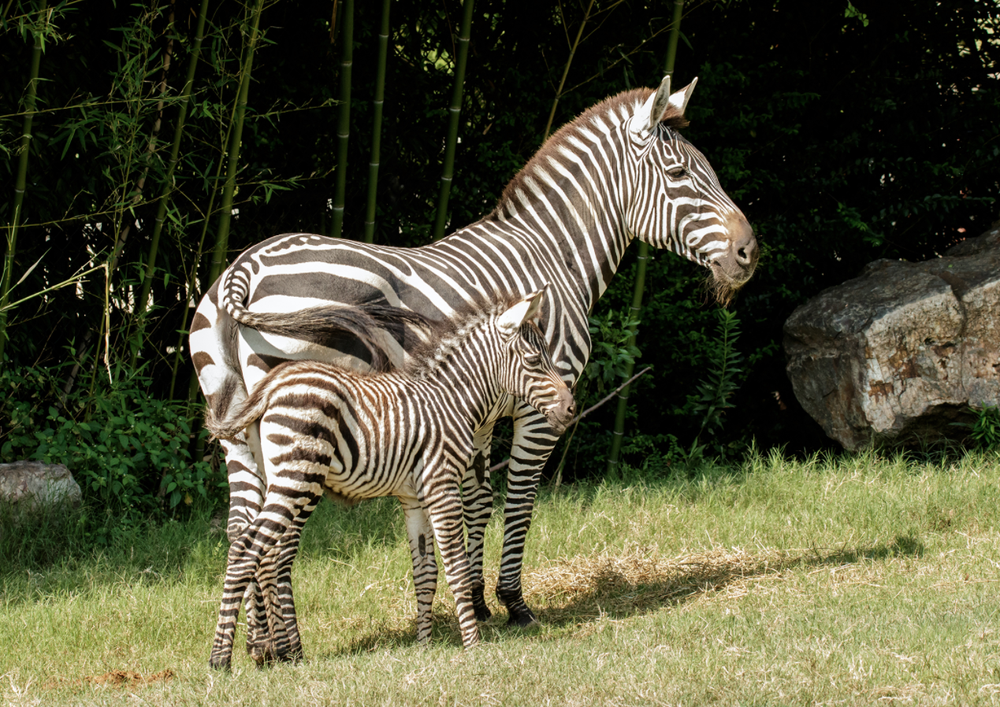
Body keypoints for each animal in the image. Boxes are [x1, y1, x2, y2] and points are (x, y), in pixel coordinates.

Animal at [203, 289, 575, 669]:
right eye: (534, 361)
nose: (572, 409)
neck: (451, 399)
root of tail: (271, 386)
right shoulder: (442, 485)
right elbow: (455, 565)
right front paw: (472, 644)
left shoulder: (414, 497)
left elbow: (425, 572)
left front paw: (424, 644)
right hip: (298, 478)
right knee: (249, 548)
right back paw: (223, 659)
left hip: (282, 478)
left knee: (266, 553)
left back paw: (283, 652)